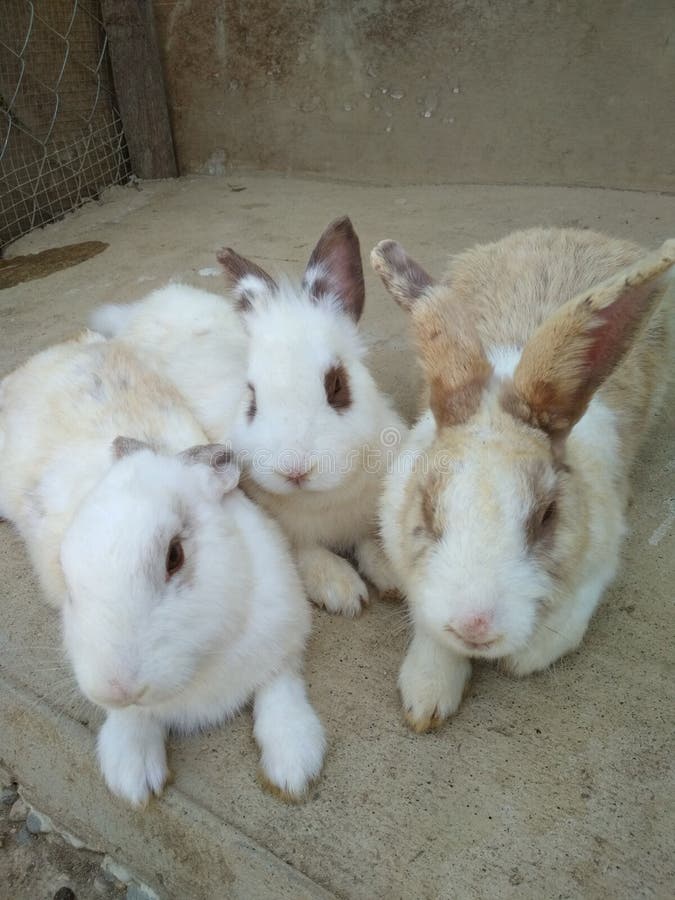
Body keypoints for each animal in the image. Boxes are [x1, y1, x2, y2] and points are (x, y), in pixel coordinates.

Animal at [0, 335, 325, 805]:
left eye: (174, 556)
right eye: (67, 576)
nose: (117, 688)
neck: (200, 665)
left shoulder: (283, 636)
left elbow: (280, 686)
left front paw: (294, 765)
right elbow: (134, 722)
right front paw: (134, 777)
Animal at [92, 217, 407, 617]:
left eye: (336, 385)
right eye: (252, 397)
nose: (294, 471)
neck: (324, 497)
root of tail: (141, 308)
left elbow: (372, 538)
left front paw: (392, 573)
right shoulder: (278, 524)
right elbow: (303, 550)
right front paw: (341, 589)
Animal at [370, 228, 675, 732]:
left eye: (547, 515)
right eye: (429, 510)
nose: (475, 627)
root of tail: (566, 231)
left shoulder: (601, 557)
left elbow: (570, 617)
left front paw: (524, 658)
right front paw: (426, 696)